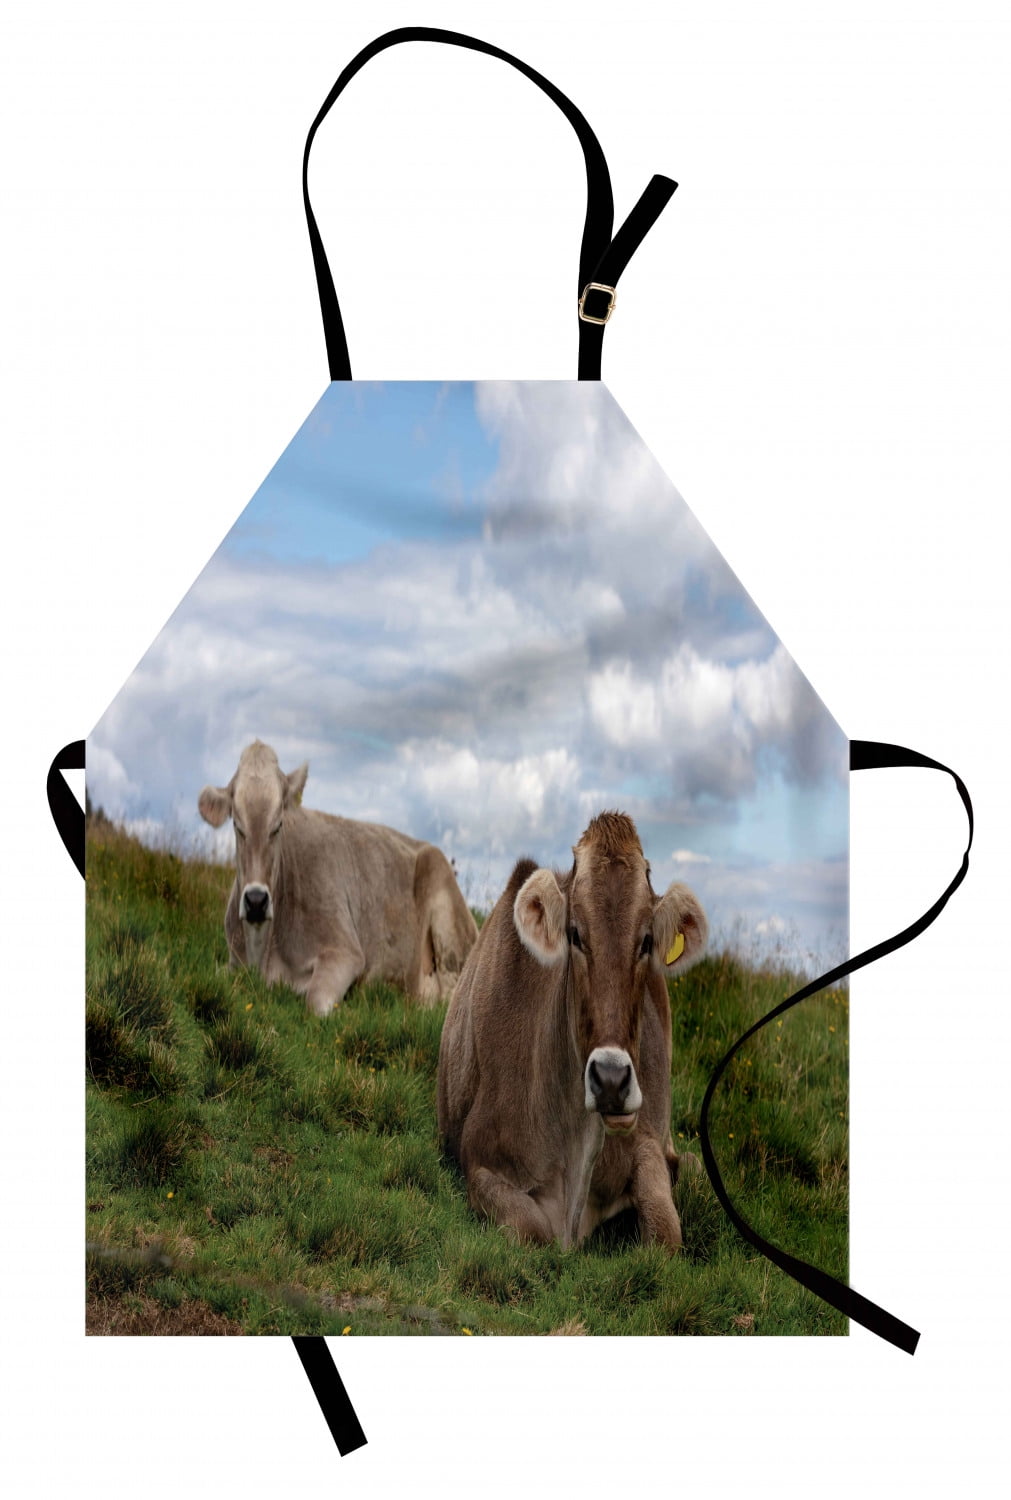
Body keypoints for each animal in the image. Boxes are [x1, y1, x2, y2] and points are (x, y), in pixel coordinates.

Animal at [198, 740, 478, 1015]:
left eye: (278, 825)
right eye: (237, 825)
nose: (256, 901)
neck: (262, 950)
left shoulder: (345, 950)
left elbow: (315, 1002)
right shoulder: (232, 962)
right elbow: (215, 973)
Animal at [437, 811, 707, 1250]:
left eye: (646, 941)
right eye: (575, 934)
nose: (611, 1080)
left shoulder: (646, 1140)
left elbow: (666, 1234)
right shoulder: (478, 1159)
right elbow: (531, 1229)